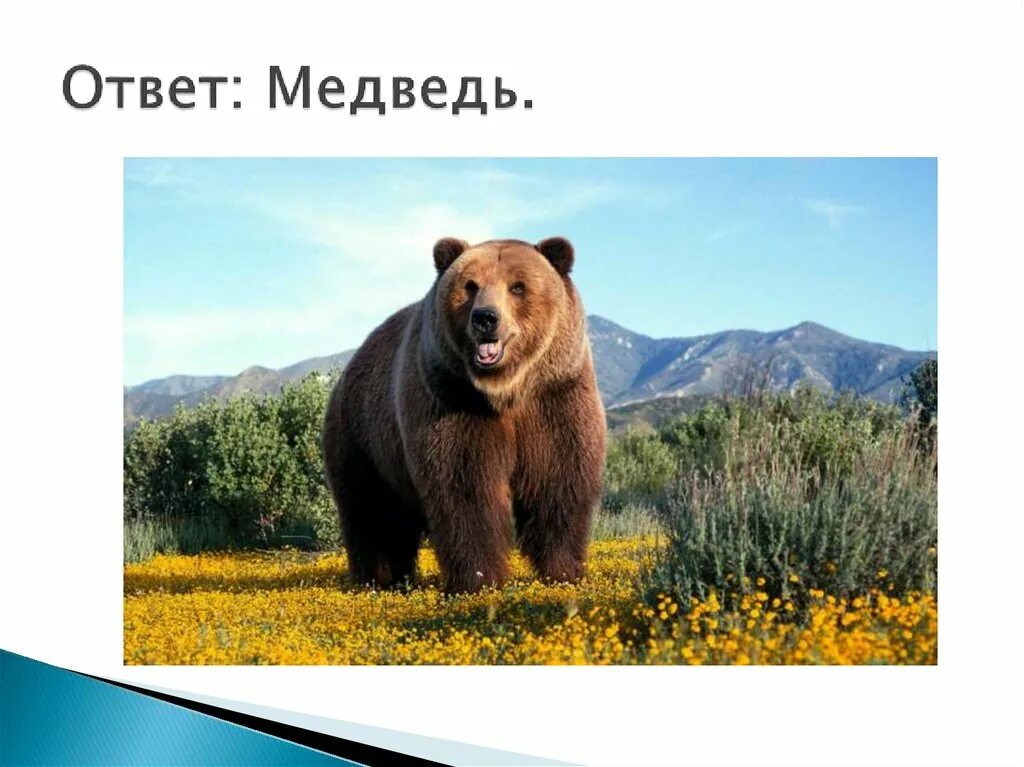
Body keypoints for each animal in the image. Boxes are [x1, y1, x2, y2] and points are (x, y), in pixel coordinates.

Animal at [322, 236, 606, 593]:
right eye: (470, 285)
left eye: (518, 286)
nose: (485, 318)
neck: (506, 391)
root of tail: (349, 368)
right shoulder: (453, 401)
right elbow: (465, 489)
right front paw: (478, 579)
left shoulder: (555, 398)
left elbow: (558, 480)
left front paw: (563, 572)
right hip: (362, 437)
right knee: (371, 511)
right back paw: (378, 579)